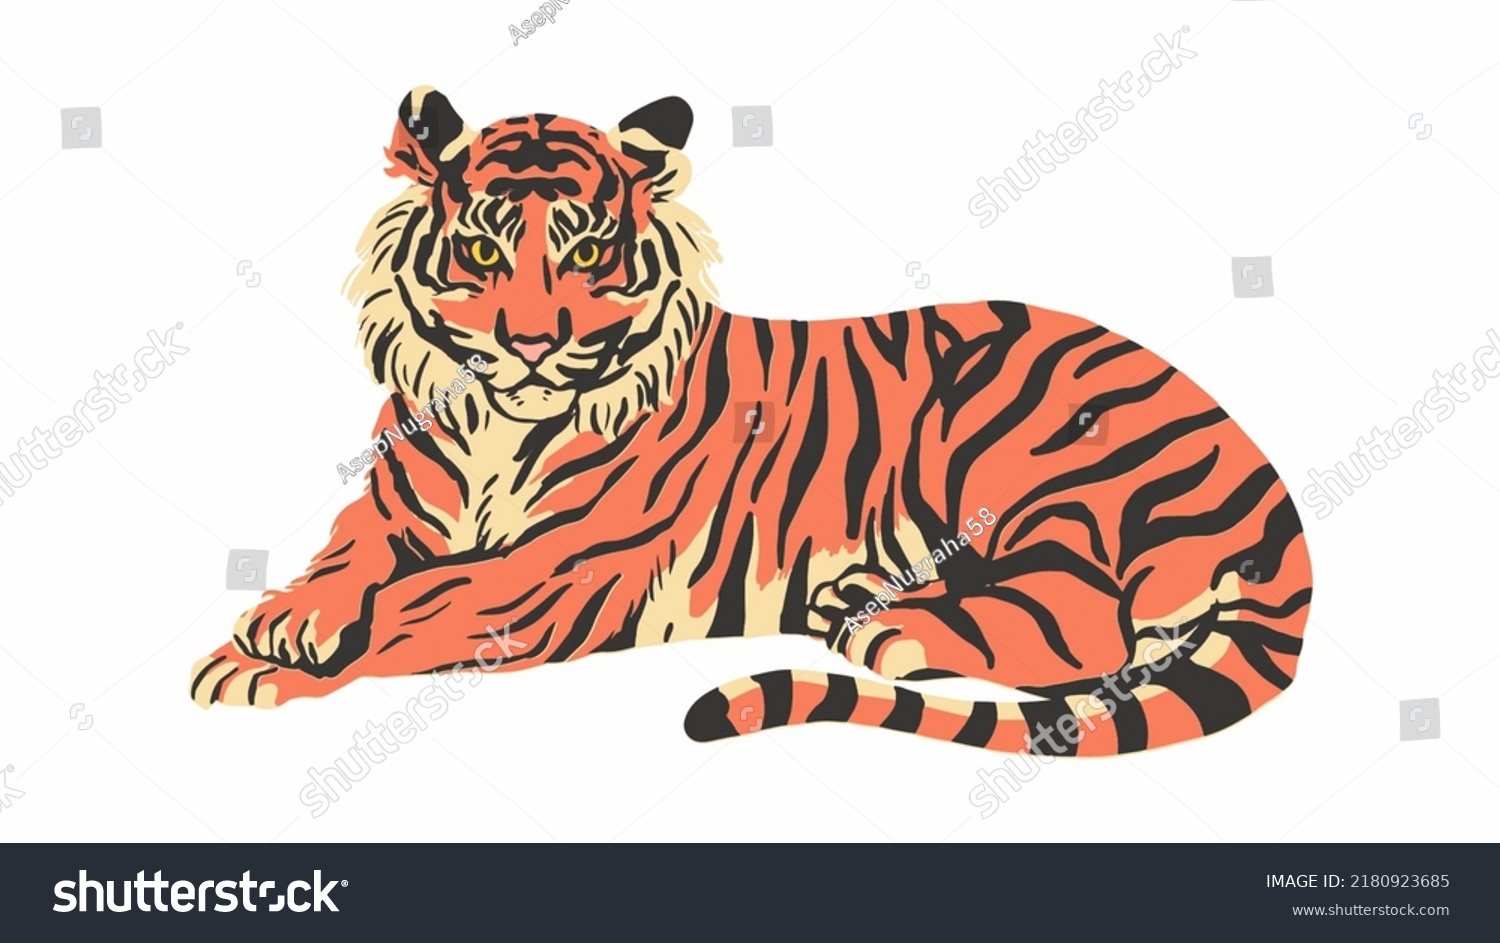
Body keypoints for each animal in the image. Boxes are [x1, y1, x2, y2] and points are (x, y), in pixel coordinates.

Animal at [190, 87, 1312, 759]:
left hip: (1015, 447)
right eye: (481, 249)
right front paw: (280, 619)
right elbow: (349, 558)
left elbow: (415, 605)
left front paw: (261, 667)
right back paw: (863, 594)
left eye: (588, 254)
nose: (535, 345)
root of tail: (1264, 479)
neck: (492, 434)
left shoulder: (556, 572)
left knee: (1086, 618)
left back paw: (888, 624)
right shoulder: (390, 508)